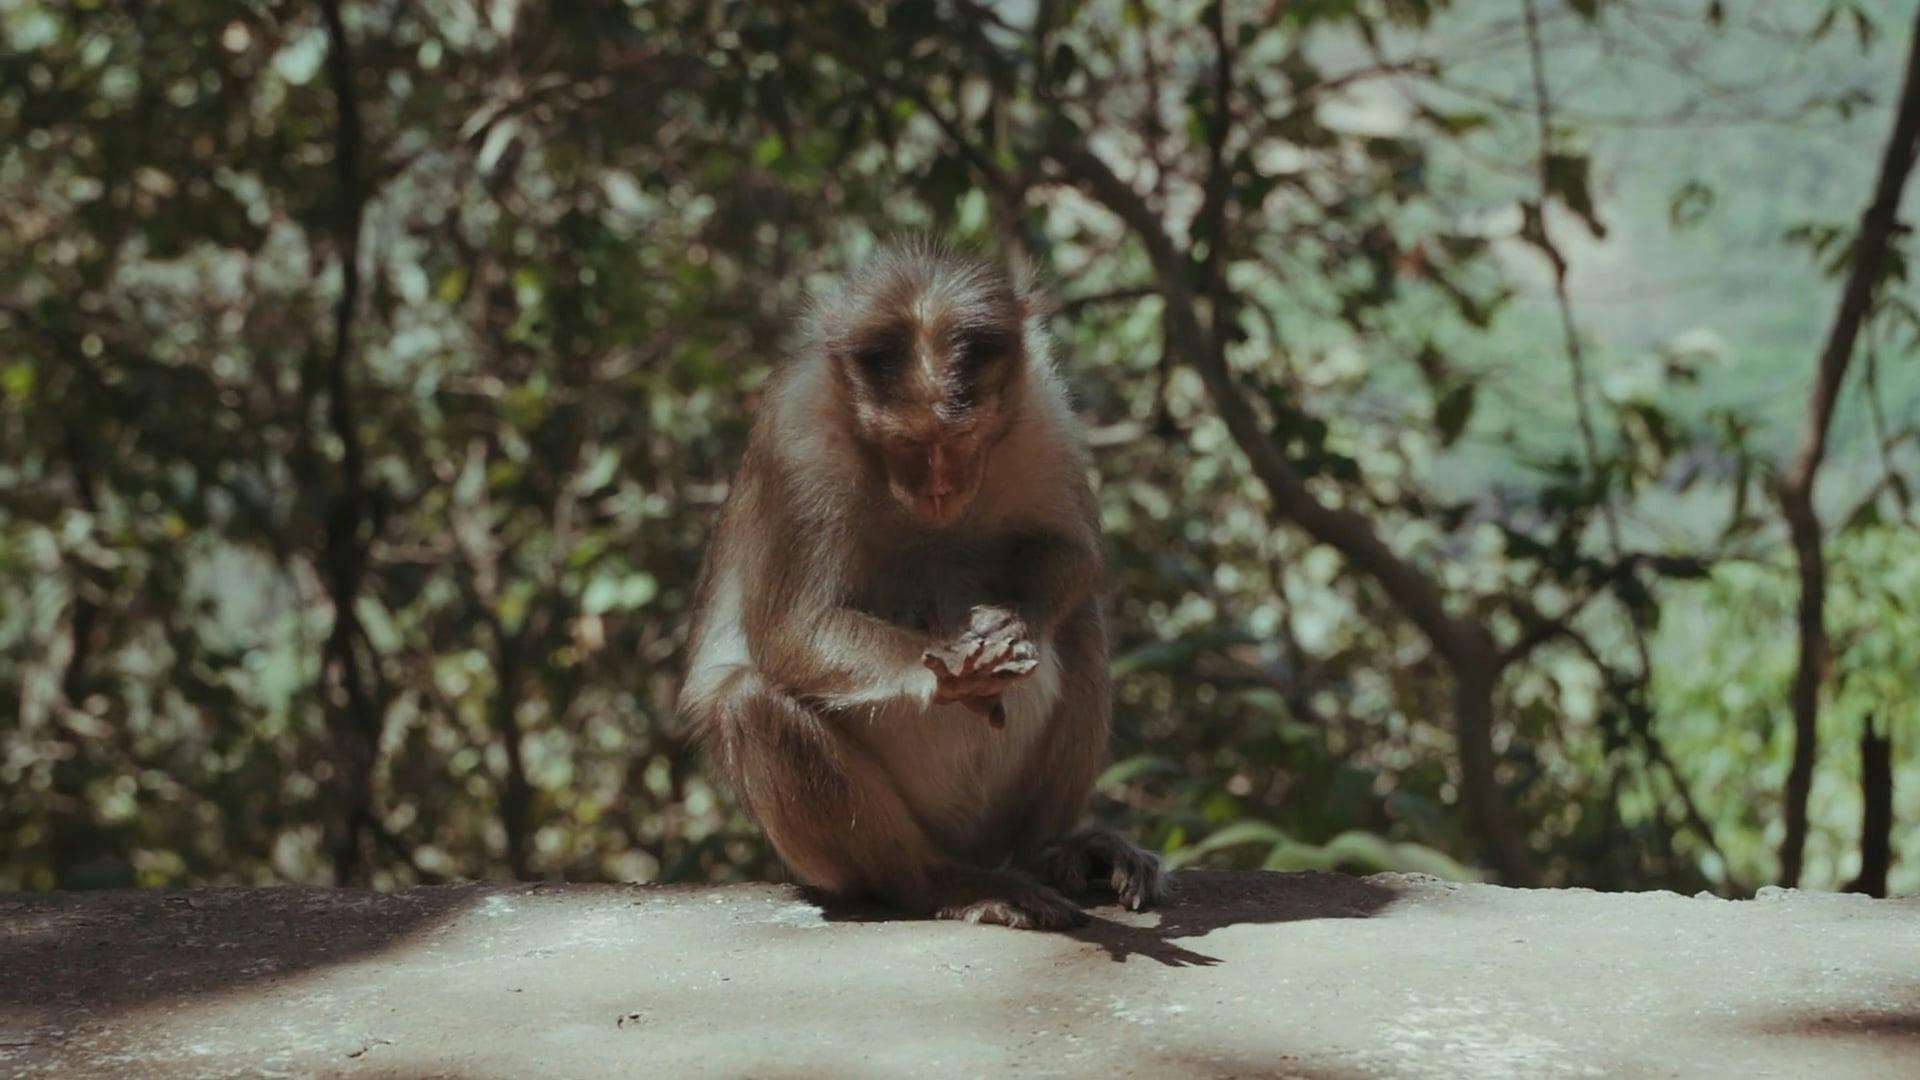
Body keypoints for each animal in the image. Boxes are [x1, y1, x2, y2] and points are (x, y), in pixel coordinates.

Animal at [675, 241, 1165, 929]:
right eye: (908, 443)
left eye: (959, 438)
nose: (937, 488)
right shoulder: (795, 441)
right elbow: (791, 628)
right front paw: (950, 666)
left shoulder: (1041, 408)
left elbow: (1074, 553)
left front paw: (1009, 622)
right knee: (749, 702)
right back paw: (943, 882)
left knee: (1078, 622)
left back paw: (1053, 849)